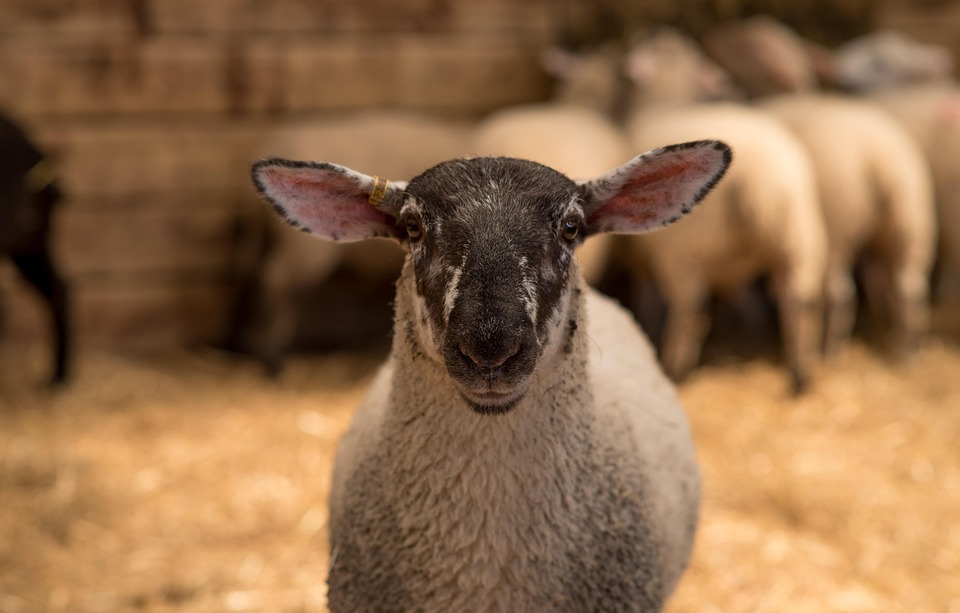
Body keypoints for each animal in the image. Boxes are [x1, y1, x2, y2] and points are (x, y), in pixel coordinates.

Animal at [623, 29, 828, 393]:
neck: (666, 95)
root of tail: (761, 178)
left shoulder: (640, 253)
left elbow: (647, 297)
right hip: (798, 230)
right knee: (800, 300)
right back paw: (800, 376)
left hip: (685, 247)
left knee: (691, 314)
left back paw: (675, 370)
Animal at [760, 93, 937, 356]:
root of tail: (879, 160)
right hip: (908, 221)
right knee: (910, 287)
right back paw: (907, 350)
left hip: (836, 231)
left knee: (841, 294)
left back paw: (831, 349)